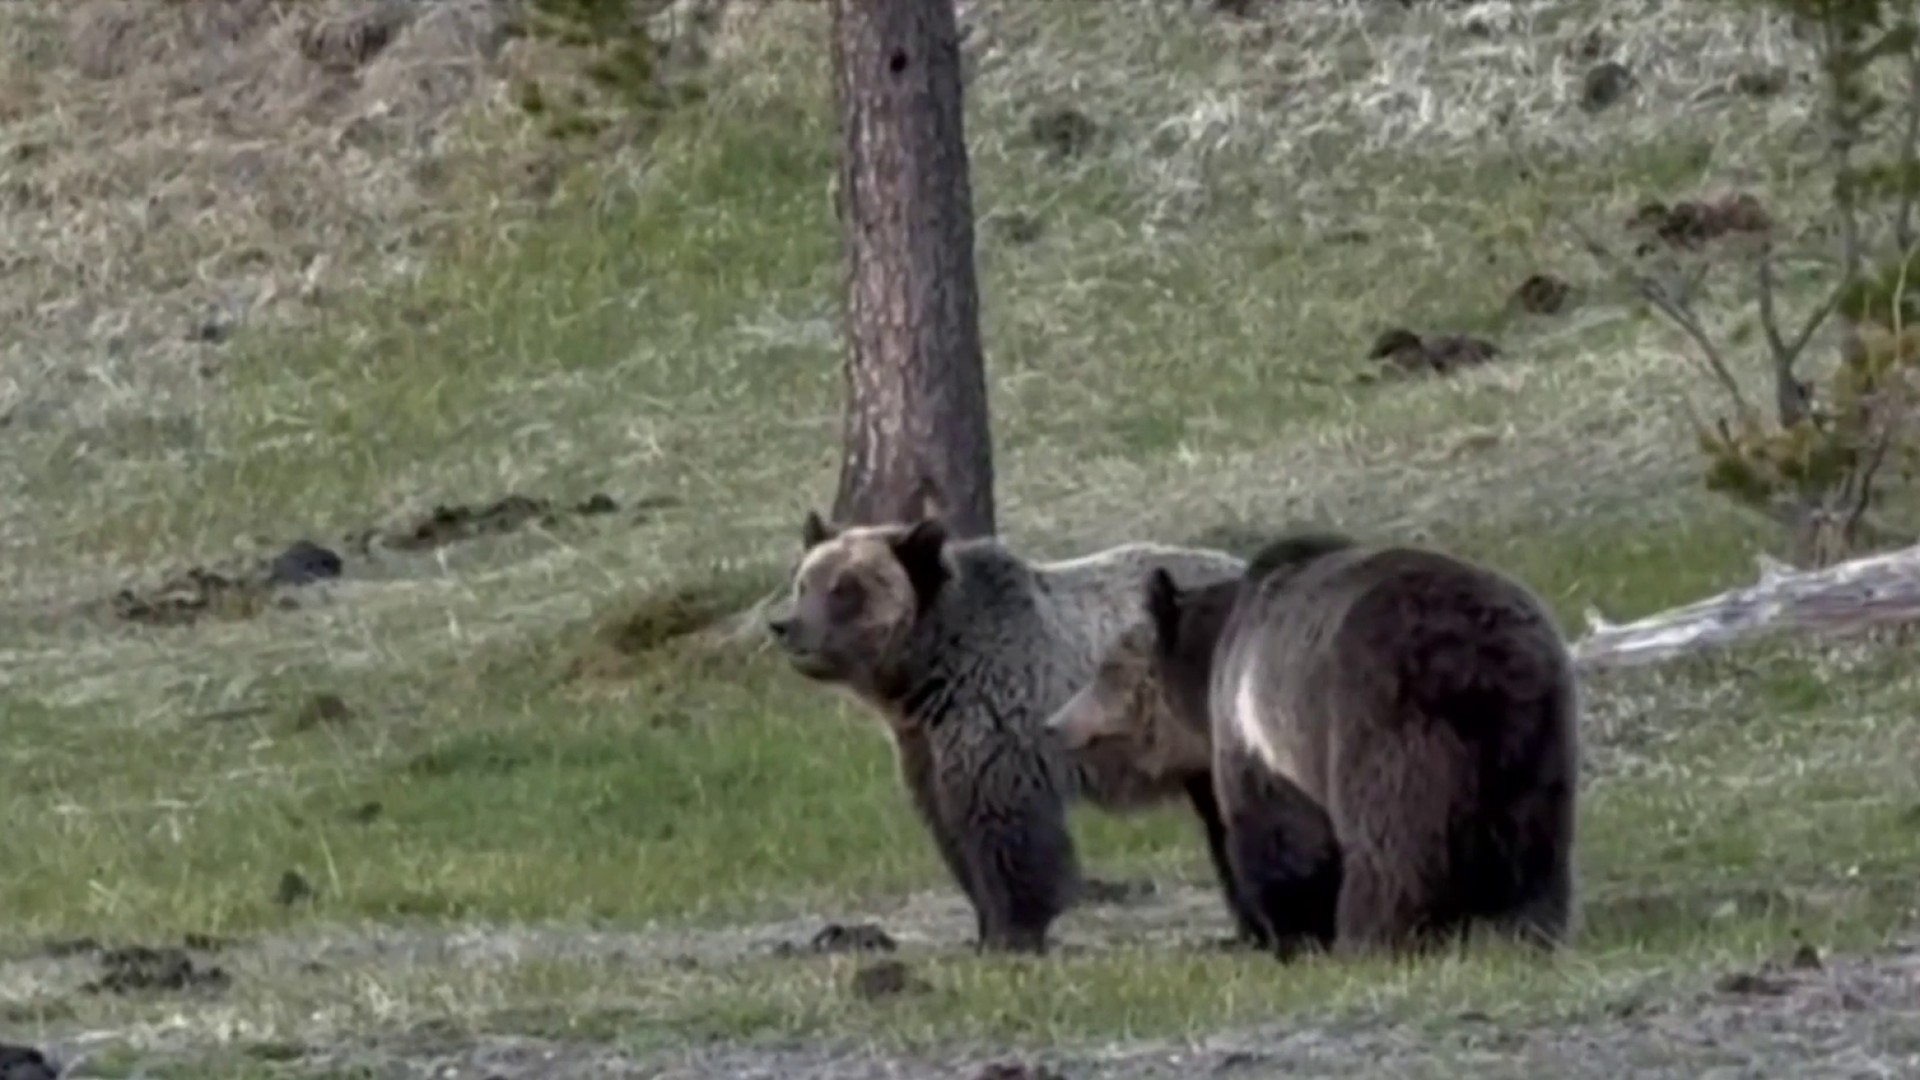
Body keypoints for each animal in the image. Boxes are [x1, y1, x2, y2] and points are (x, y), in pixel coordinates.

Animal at [766, 509, 1250, 954]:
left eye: (845, 589)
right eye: (804, 582)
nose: (786, 625)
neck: (929, 672)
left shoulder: (997, 716)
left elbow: (1006, 831)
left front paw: (1012, 932)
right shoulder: (924, 743)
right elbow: (951, 829)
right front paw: (983, 929)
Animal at [1045, 529, 1581, 958]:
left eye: (1107, 668)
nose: (1055, 725)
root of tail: (1476, 656)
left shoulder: (1260, 735)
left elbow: (1277, 835)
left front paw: (1293, 934)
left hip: (1381, 717)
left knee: (1390, 838)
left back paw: (1373, 935)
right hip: (1534, 728)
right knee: (1534, 836)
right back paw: (1525, 925)